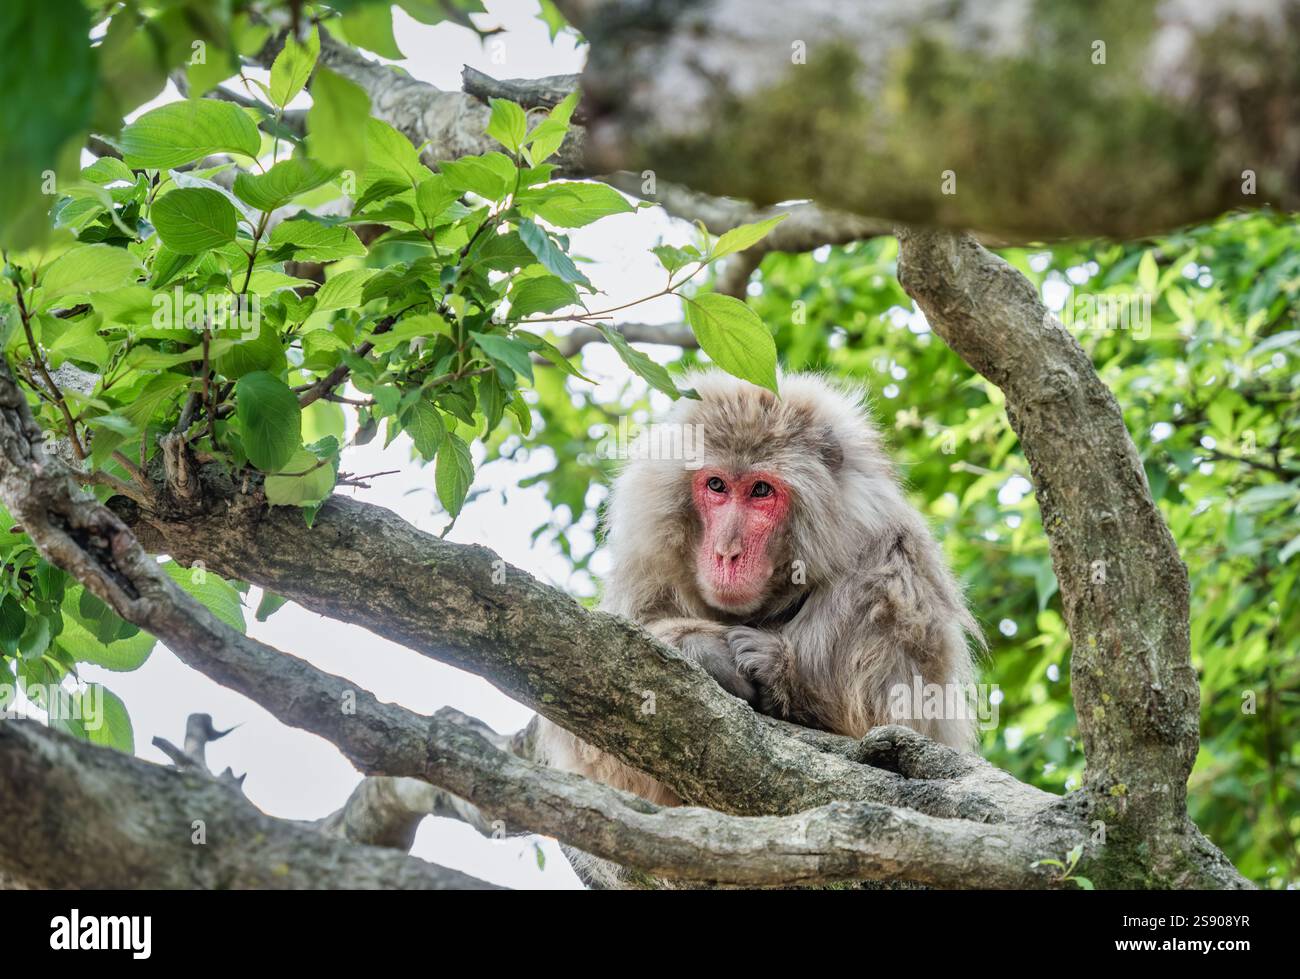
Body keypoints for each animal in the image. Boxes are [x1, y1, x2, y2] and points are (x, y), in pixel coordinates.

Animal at [537, 369, 983, 807]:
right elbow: (598, 748)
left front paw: (773, 664)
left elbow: (892, 719)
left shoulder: (895, 566)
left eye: (761, 490)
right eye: (717, 485)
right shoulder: (647, 569)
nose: (727, 553)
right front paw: (698, 646)